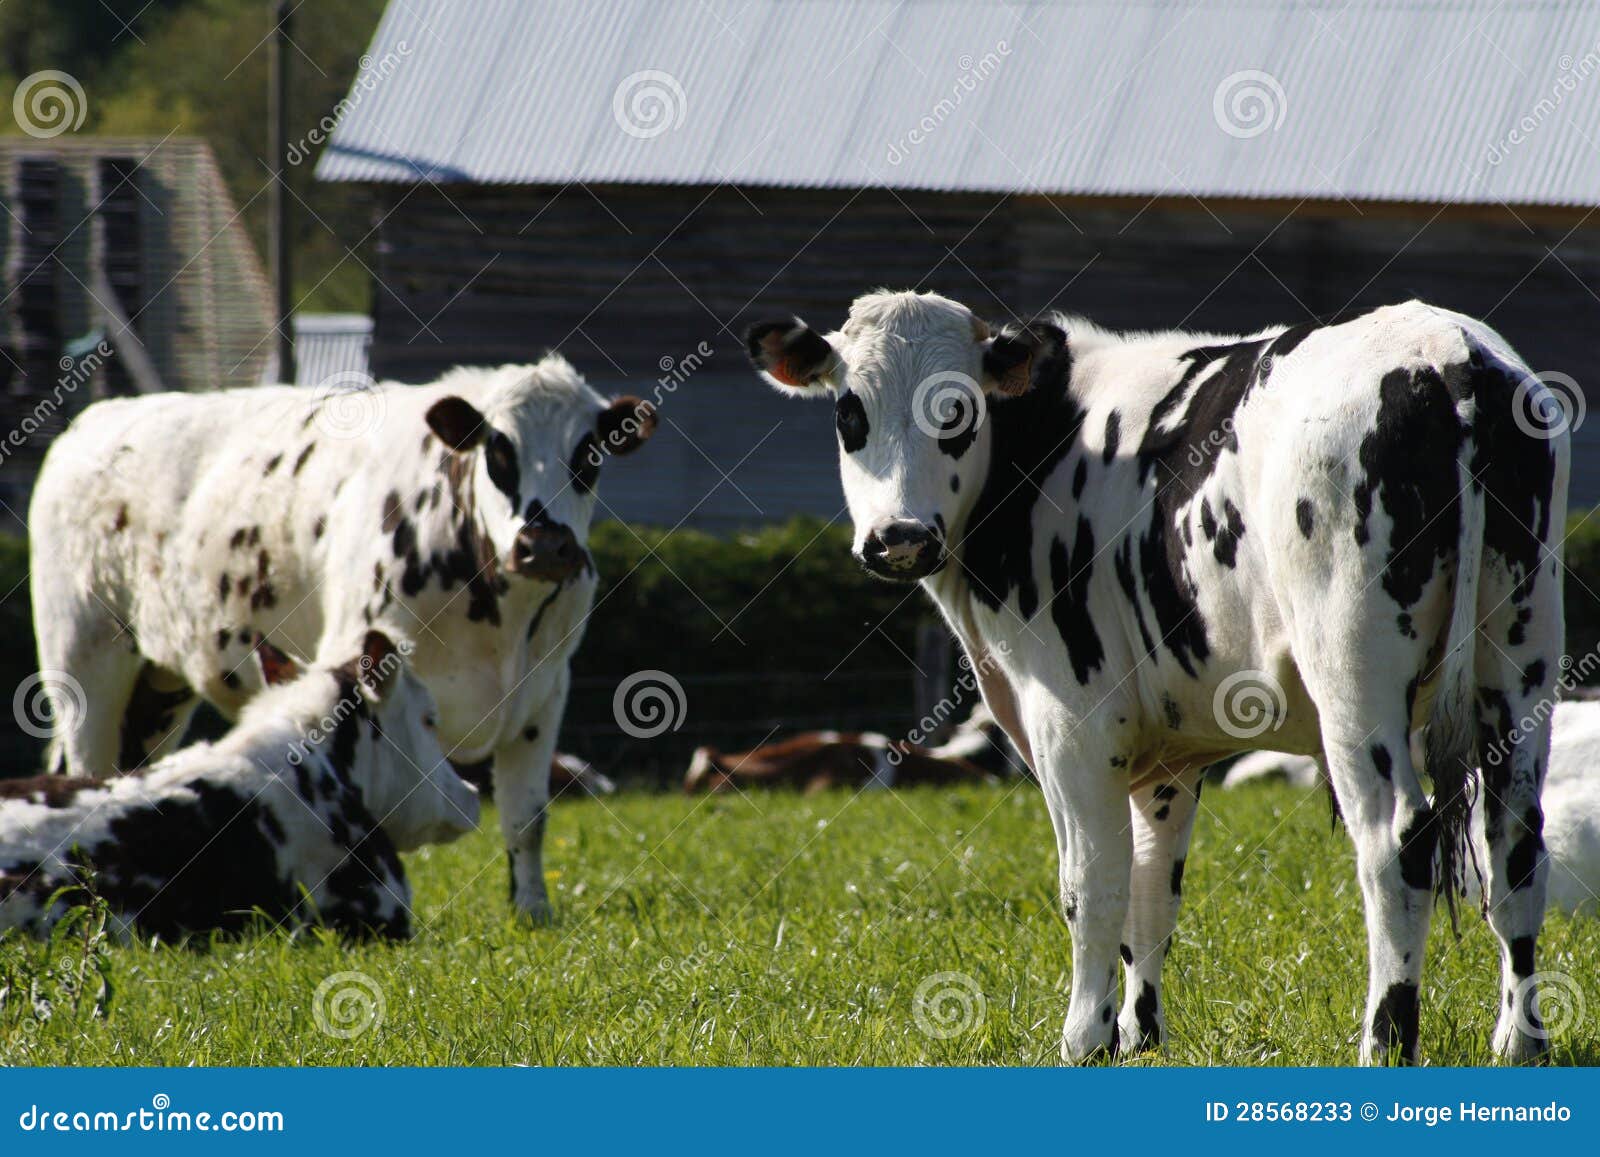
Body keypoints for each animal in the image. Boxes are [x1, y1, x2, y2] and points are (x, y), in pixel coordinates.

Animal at [29, 355, 655, 922]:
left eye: (589, 455)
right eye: (499, 450)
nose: (544, 545)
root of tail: (94, 422)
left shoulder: (544, 690)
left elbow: (527, 819)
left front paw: (532, 913)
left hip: (156, 692)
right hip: (84, 665)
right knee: (88, 767)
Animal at [747, 291, 1567, 1064]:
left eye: (957, 410)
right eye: (849, 412)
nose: (900, 537)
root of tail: (1444, 350)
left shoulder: (1072, 724)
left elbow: (1092, 885)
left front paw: (1084, 1039)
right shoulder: (1168, 756)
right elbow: (1150, 896)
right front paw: (1139, 1036)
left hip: (1354, 673)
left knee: (1398, 844)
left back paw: (1384, 1042)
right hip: (1519, 660)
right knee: (1515, 844)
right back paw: (1519, 1040)